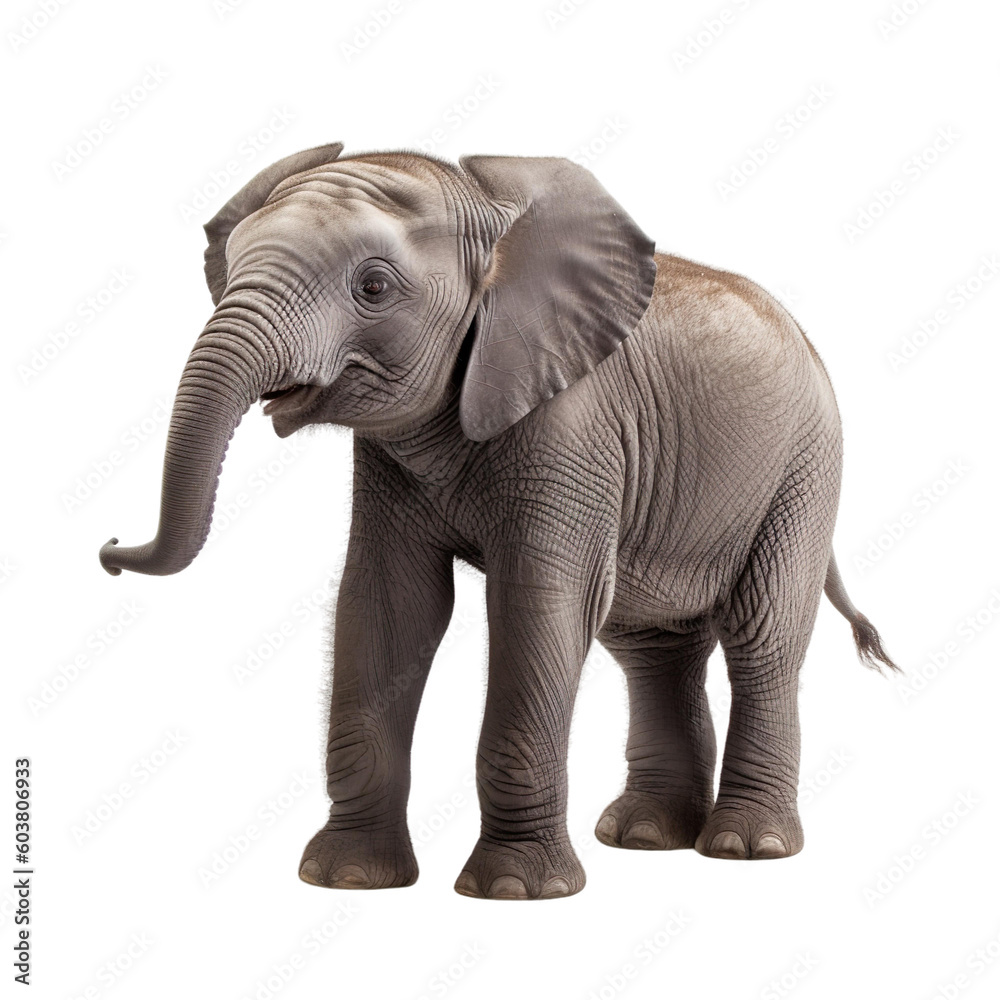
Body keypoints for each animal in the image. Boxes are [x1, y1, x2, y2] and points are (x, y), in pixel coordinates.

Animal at [98, 143, 896, 900]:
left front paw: (516, 890)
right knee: (649, 646)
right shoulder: (392, 461)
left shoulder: (574, 427)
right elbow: (386, 607)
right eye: (228, 268)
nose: (109, 548)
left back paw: (745, 846)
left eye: (374, 287)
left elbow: (540, 606)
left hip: (804, 469)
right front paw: (347, 878)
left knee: (763, 636)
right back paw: (643, 836)